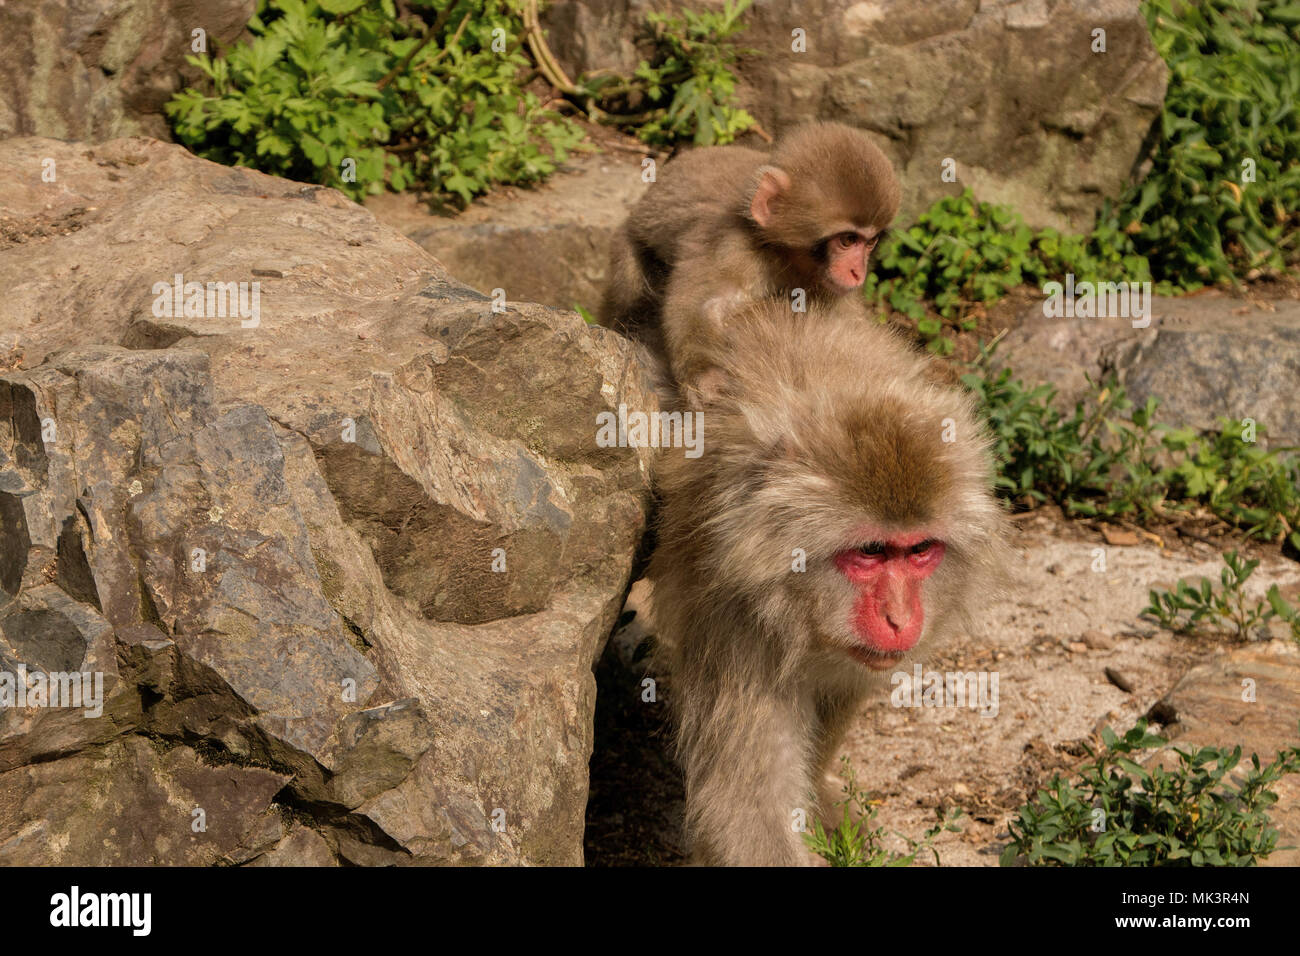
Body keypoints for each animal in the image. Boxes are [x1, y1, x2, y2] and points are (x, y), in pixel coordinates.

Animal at [599, 122, 901, 393]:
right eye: (848, 240)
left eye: (870, 242)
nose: (857, 272)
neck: (786, 257)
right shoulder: (733, 246)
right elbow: (704, 305)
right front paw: (706, 376)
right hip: (627, 244)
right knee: (630, 291)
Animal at [647, 299, 1007, 867]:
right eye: (871, 551)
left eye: (919, 550)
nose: (899, 618)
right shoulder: (736, 620)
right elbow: (746, 806)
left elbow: (841, 688)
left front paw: (820, 801)